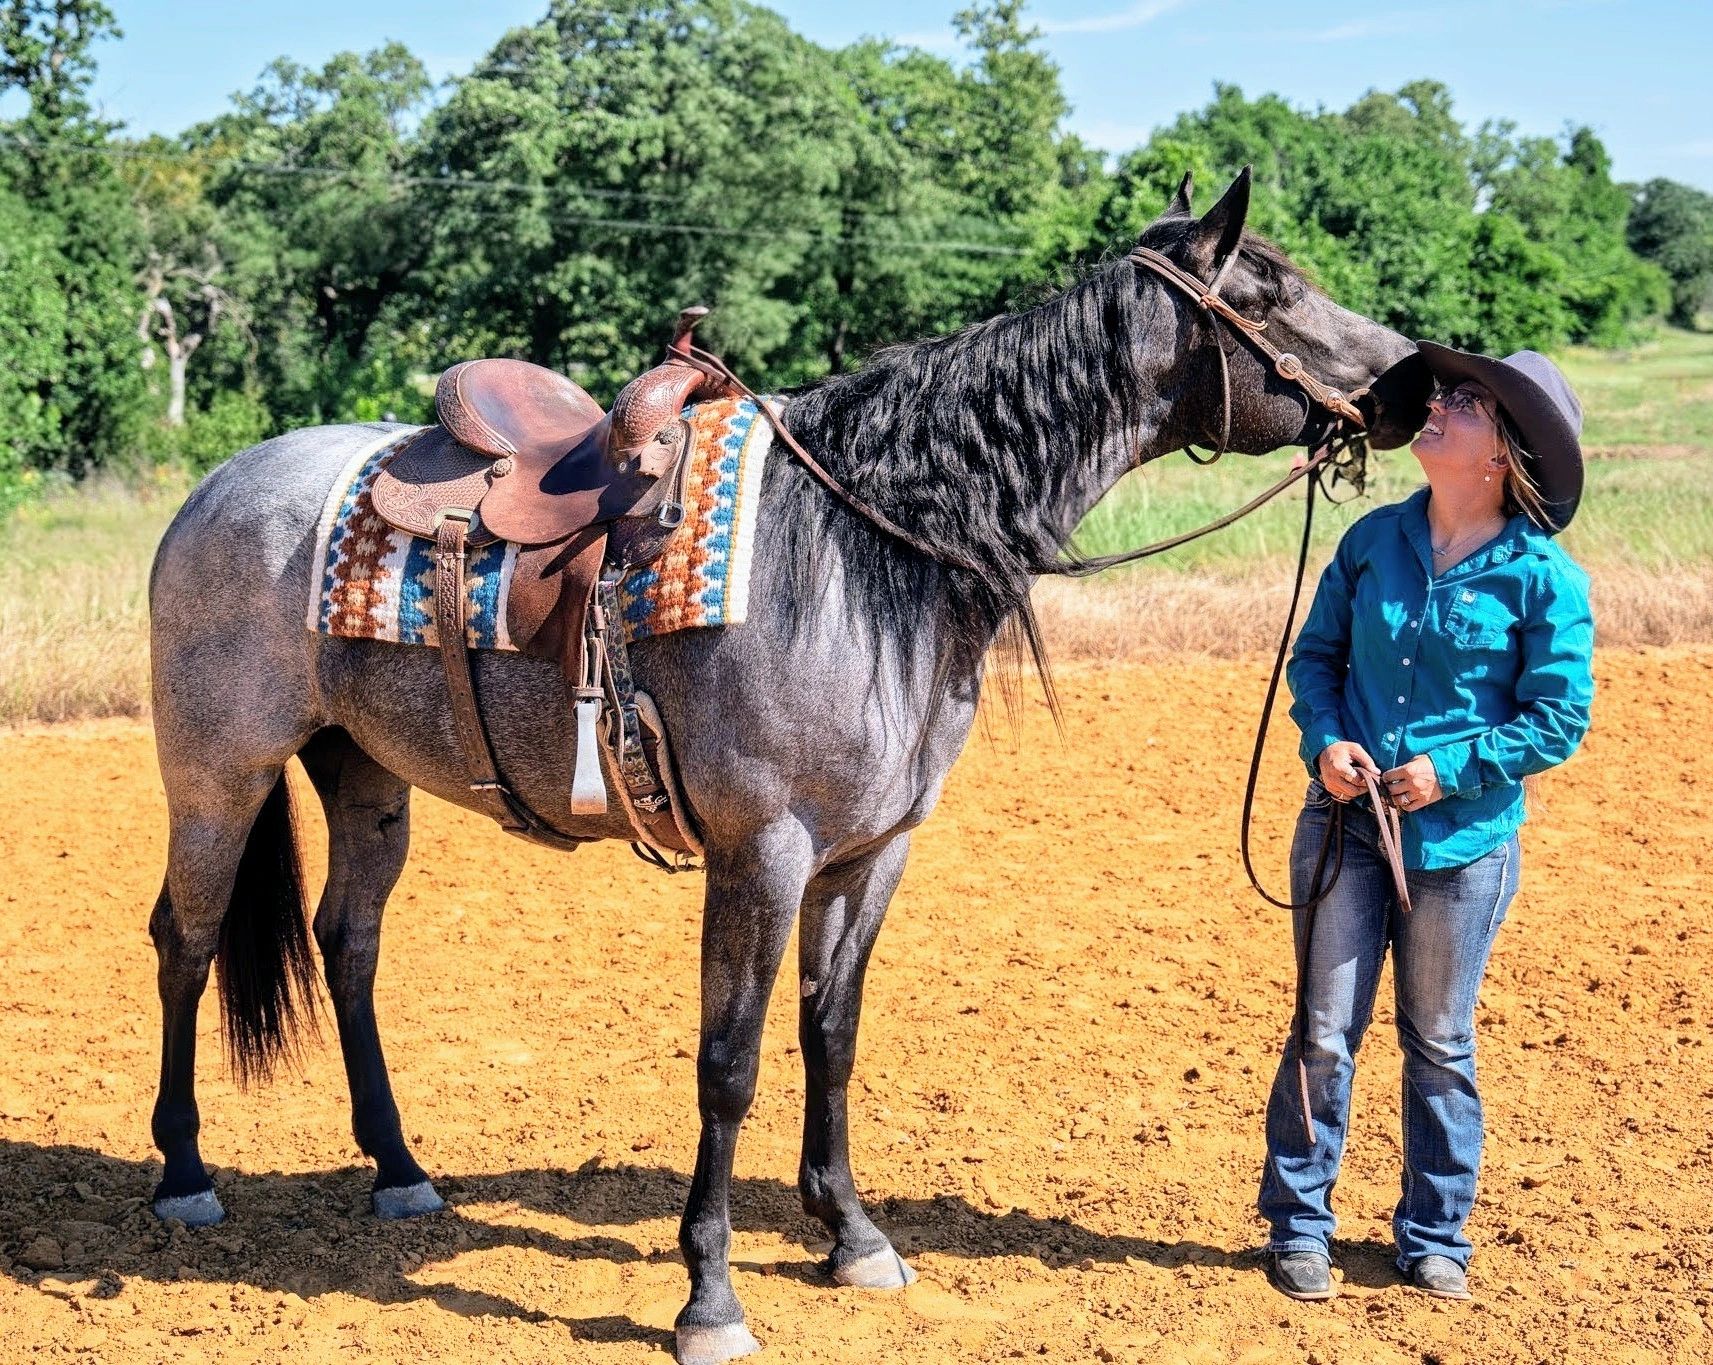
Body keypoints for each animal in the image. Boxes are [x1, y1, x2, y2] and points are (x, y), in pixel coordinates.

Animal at [145, 169, 1418, 1364]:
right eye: (1269, 293)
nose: (1410, 379)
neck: (862, 548)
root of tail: (213, 489)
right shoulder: (762, 852)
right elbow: (731, 1062)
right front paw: (709, 1297)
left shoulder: (871, 853)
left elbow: (831, 1035)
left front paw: (851, 1235)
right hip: (218, 777)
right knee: (186, 944)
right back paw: (185, 1175)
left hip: (365, 776)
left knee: (348, 945)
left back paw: (400, 1168)